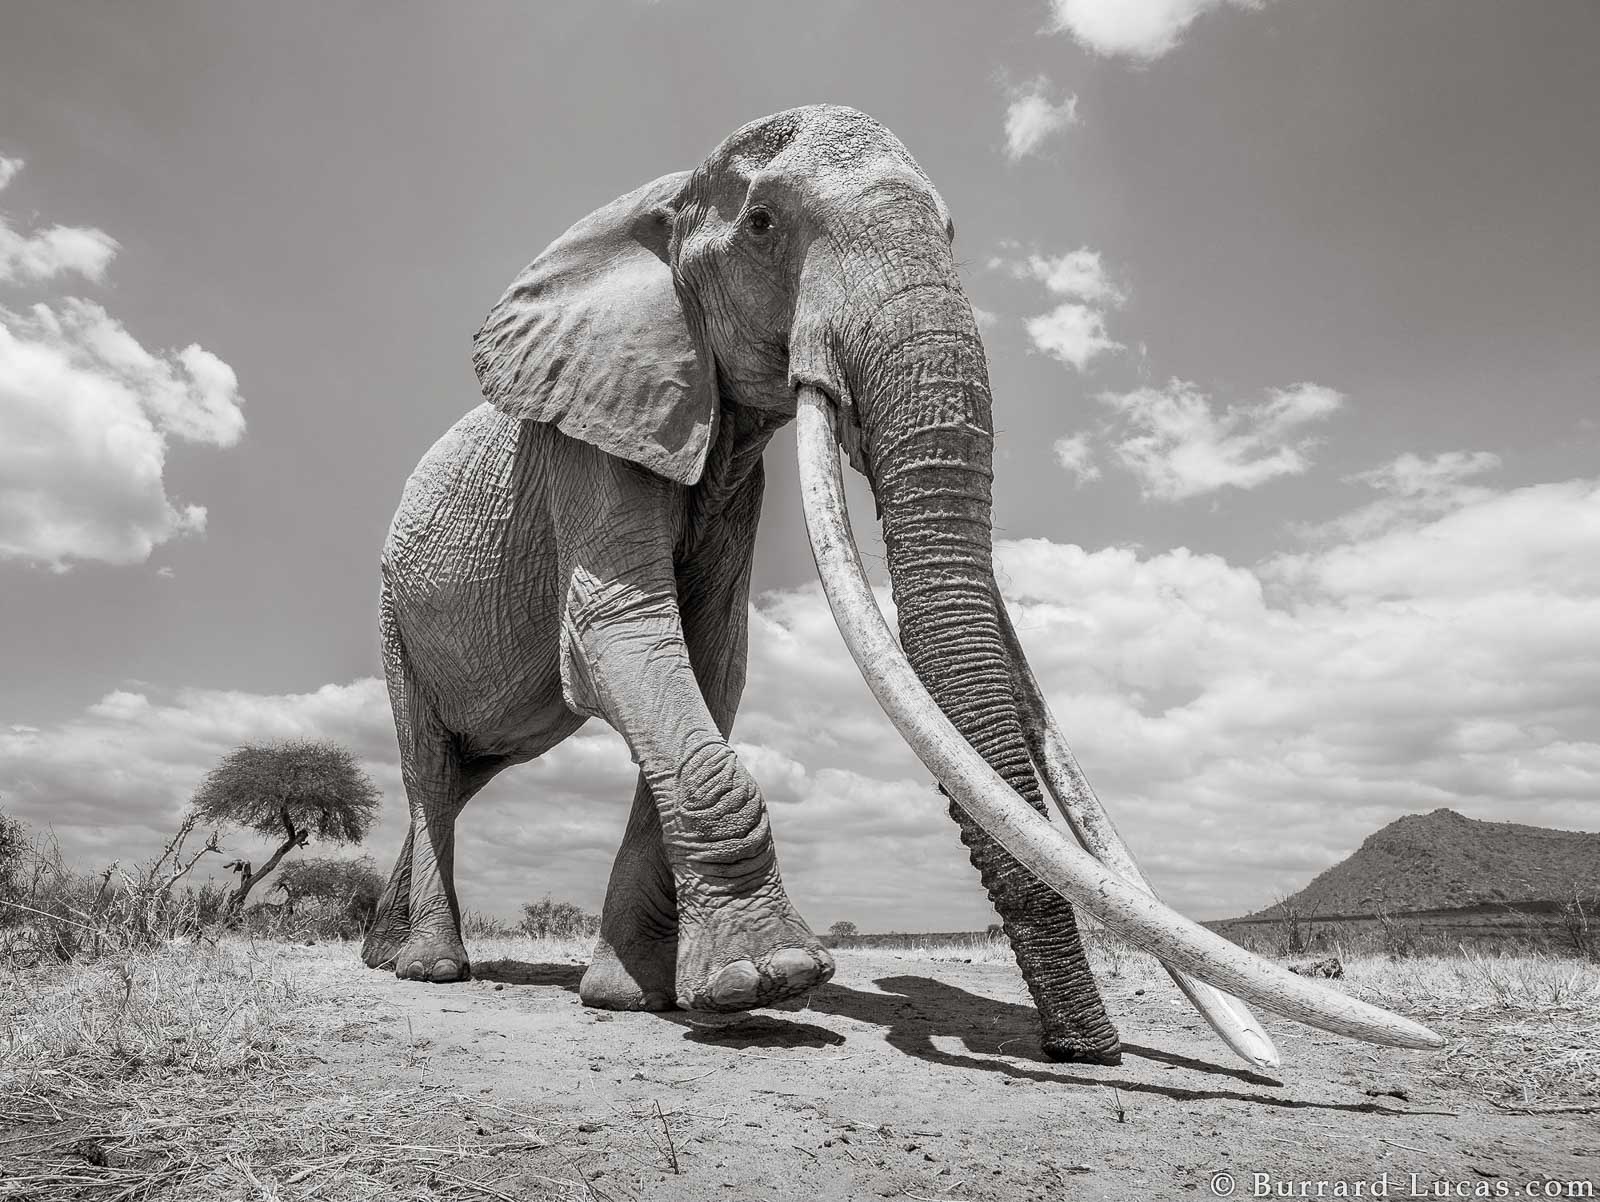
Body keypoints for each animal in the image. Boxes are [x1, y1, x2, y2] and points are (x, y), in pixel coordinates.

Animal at [362, 105, 1442, 1068]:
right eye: (764, 225)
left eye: (952, 233)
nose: (1079, 1050)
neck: (659, 200)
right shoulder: (588, 437)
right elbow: (619, 638)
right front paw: (771, 979)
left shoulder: (728, 469)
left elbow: (710, 663)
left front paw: (638, 997)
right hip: (391, 616)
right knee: (430, 768)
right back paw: (431, 969)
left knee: (462, 774)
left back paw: (386, 952)